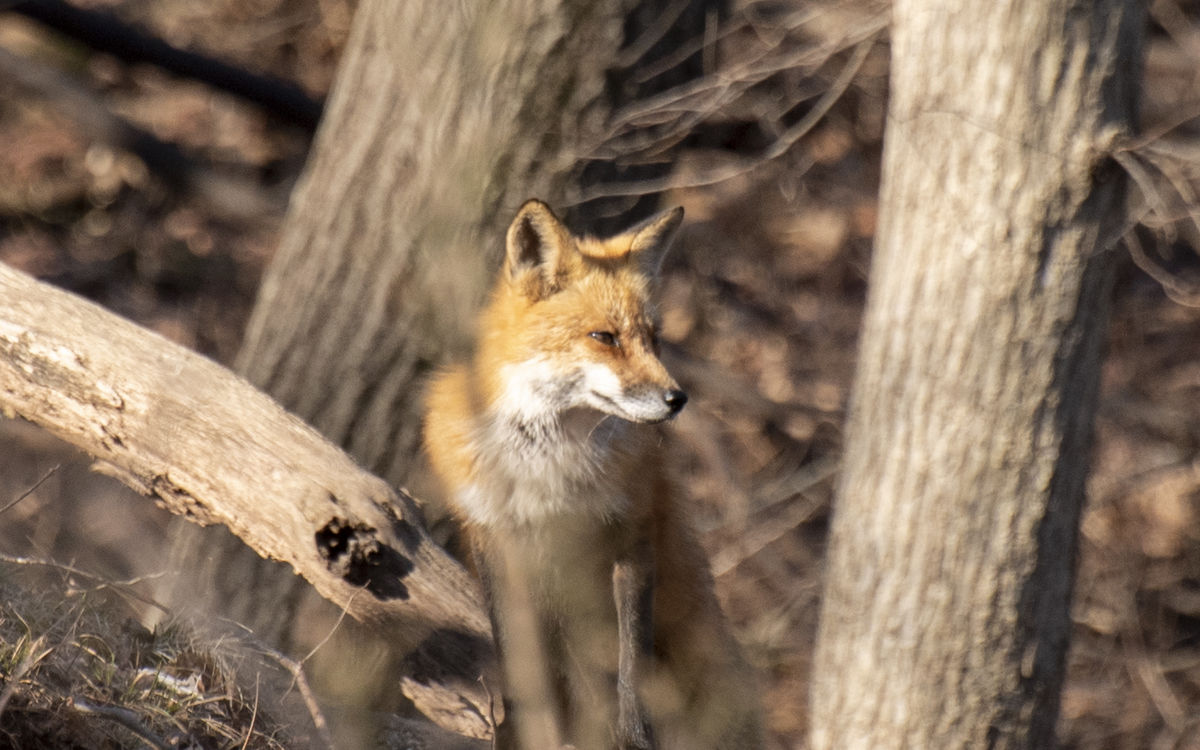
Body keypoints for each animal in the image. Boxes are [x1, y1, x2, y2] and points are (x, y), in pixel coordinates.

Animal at [423, 200, 762, 750]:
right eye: (604, 337)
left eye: (654, 339)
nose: (678, 399)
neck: (547, 471)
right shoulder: (494, 541)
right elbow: (517, 662)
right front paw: (520, 730)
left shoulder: (634, 537)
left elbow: (630, 667)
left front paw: (633, 738)